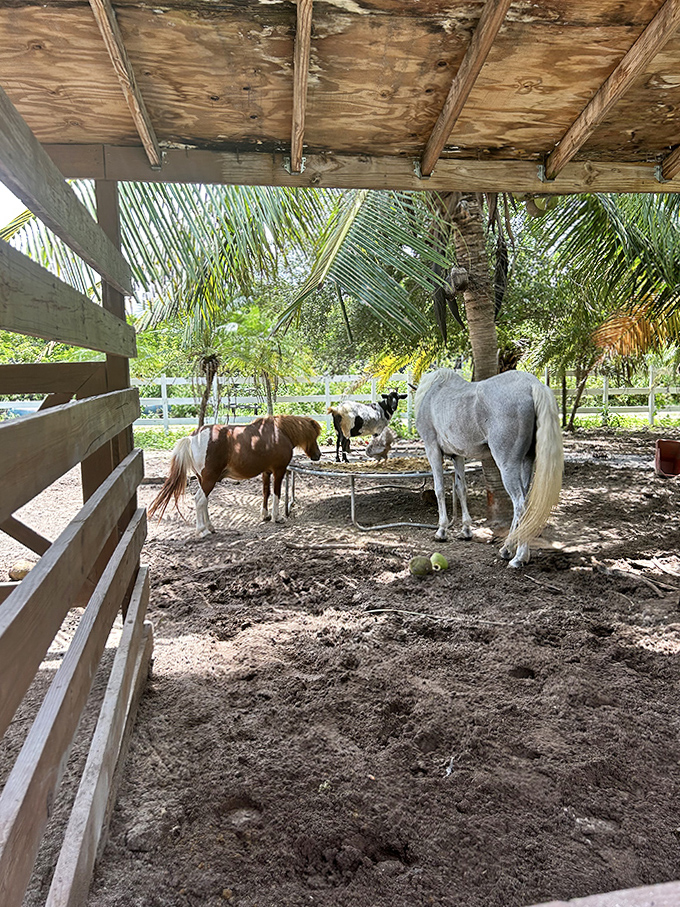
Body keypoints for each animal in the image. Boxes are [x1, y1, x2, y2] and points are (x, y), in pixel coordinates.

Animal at [148, 415, 322, 536]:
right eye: (314, 436)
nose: (318, 455)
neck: (280, 433)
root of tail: (193, 437)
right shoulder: (278, 471)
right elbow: (276, 494)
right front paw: (277, 517)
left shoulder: (266, 472)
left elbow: (265, 493)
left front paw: (265, 515)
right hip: (209, 480)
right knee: (199, 500)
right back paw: (202, 531)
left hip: (202, 480)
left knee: (204, 501)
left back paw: (210, 527)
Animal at [414, 369, 563, 567]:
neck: (433, 392)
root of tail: (533, 385)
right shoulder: (458, 456)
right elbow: (461, 489)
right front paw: (466, 530)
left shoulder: (432, 450)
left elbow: (439, 490)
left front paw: (441, 531)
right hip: (526, 461)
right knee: (524, 501)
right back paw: (508, 549)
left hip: (508, 465)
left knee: (520, 504)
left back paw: (517, 557)